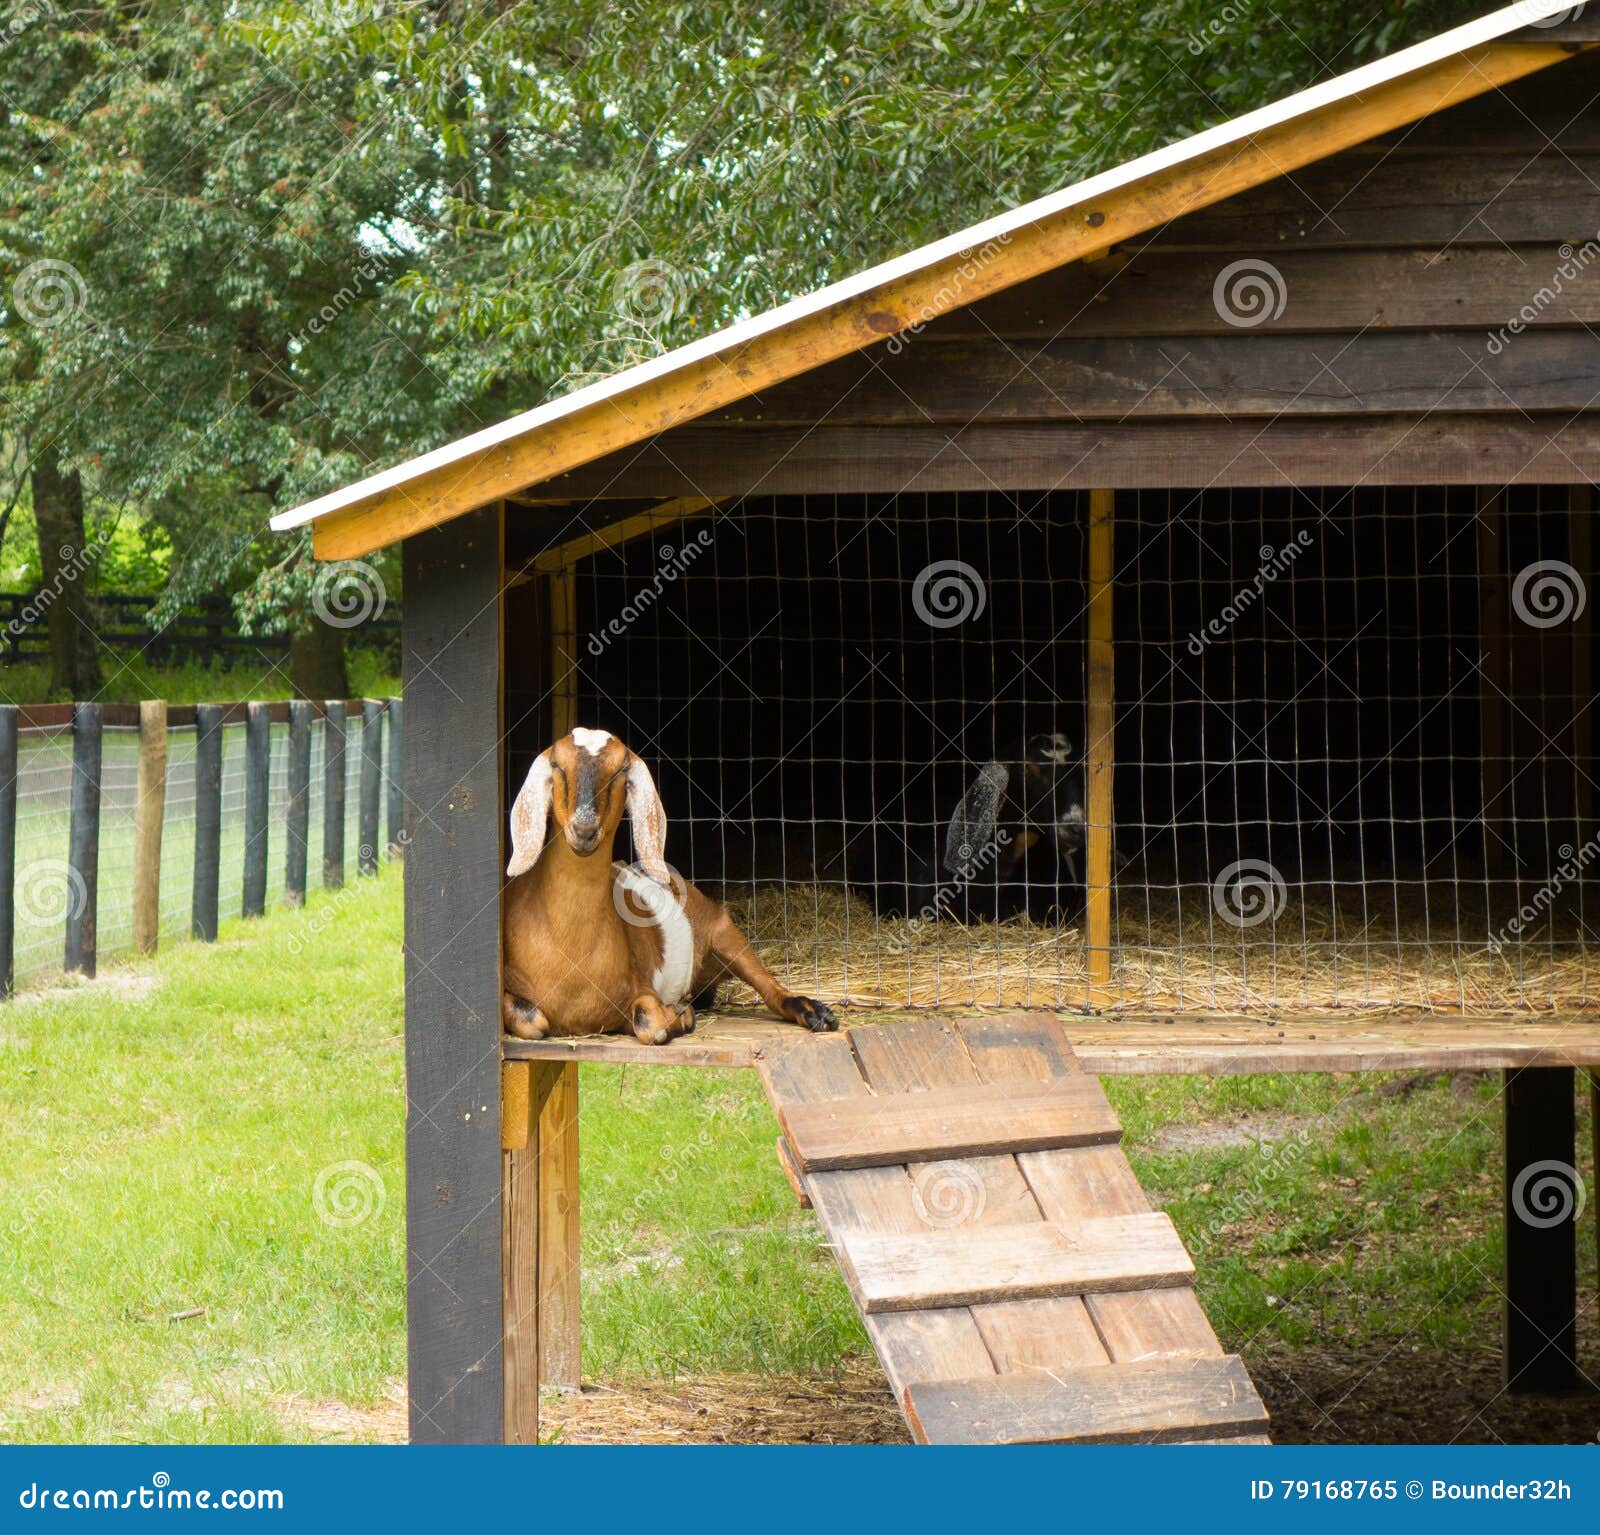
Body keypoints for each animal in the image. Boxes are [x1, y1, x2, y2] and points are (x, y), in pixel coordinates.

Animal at [501, 728, 838, 1045]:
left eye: (621, 769)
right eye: (557, 764)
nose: (584, 830)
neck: (571, 950)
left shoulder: (643, 988)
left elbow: (649, 1023)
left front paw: (682, 1016)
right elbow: (531, 1021)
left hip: (725, 932)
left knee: (770, 988)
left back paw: (817, 1013)